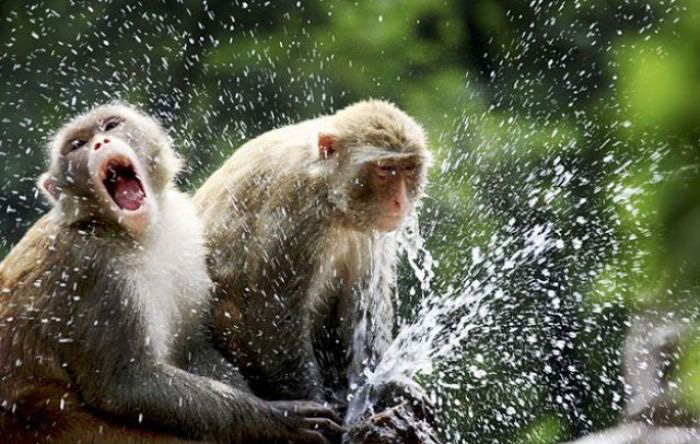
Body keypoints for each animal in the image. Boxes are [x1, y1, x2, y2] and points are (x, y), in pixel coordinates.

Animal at [0, 103, 343, 444]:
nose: (99, 144)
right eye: (77, 146)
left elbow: (193, 348)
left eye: (110, 126)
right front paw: (275, 419)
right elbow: (126, 386)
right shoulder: (90, 269)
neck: (132, 235)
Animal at [194, 99, 433, 424]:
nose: (400, 201)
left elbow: (363, 304)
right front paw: (314, 404)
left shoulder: (369, 232)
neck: (331, 192)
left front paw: (381, 386)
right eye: (386, 170)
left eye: (408, 169)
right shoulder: (296, 211)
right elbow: (274, 310)